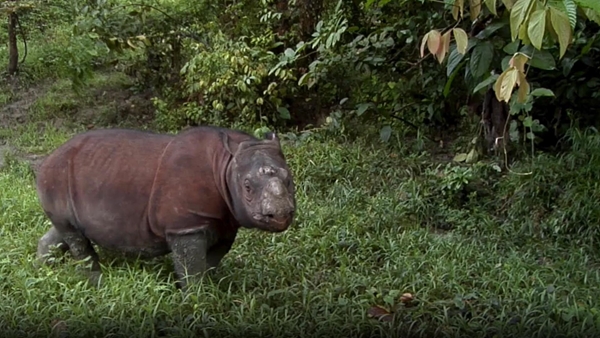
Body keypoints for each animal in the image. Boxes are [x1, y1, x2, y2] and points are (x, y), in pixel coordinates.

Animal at [34, 127, 296, 288]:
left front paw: (212, 288)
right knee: (73, 234)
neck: (226, 166)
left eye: (290, 180)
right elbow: (192, 267)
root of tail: (47, 158)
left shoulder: (225, 221)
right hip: (57, 174)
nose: (280, 214)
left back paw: (43, 267)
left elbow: (211, 261)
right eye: (247, 187)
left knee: (66, 227)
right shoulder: (186, 226)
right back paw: (97, 282)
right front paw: (198, 298)